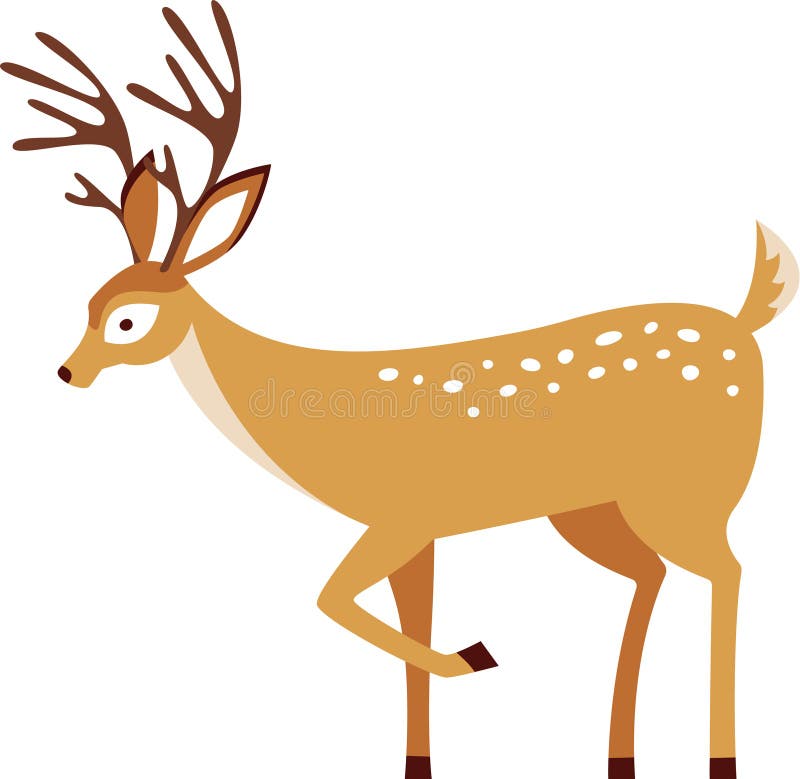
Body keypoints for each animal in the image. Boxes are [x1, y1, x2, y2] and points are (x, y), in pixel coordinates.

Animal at [2, 3, 797, 778]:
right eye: (88, 302)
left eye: (128, 320)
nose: (67, 372)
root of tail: (745, 323)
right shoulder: (421, 532)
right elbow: (403, 625)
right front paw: (423, 749)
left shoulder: (401, 516)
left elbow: (330, 598)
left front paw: (475, 656)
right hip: (590, 509)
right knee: (654, 573)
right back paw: (618, 753)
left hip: (688, 489)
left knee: (728, 569)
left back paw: (721, 756)